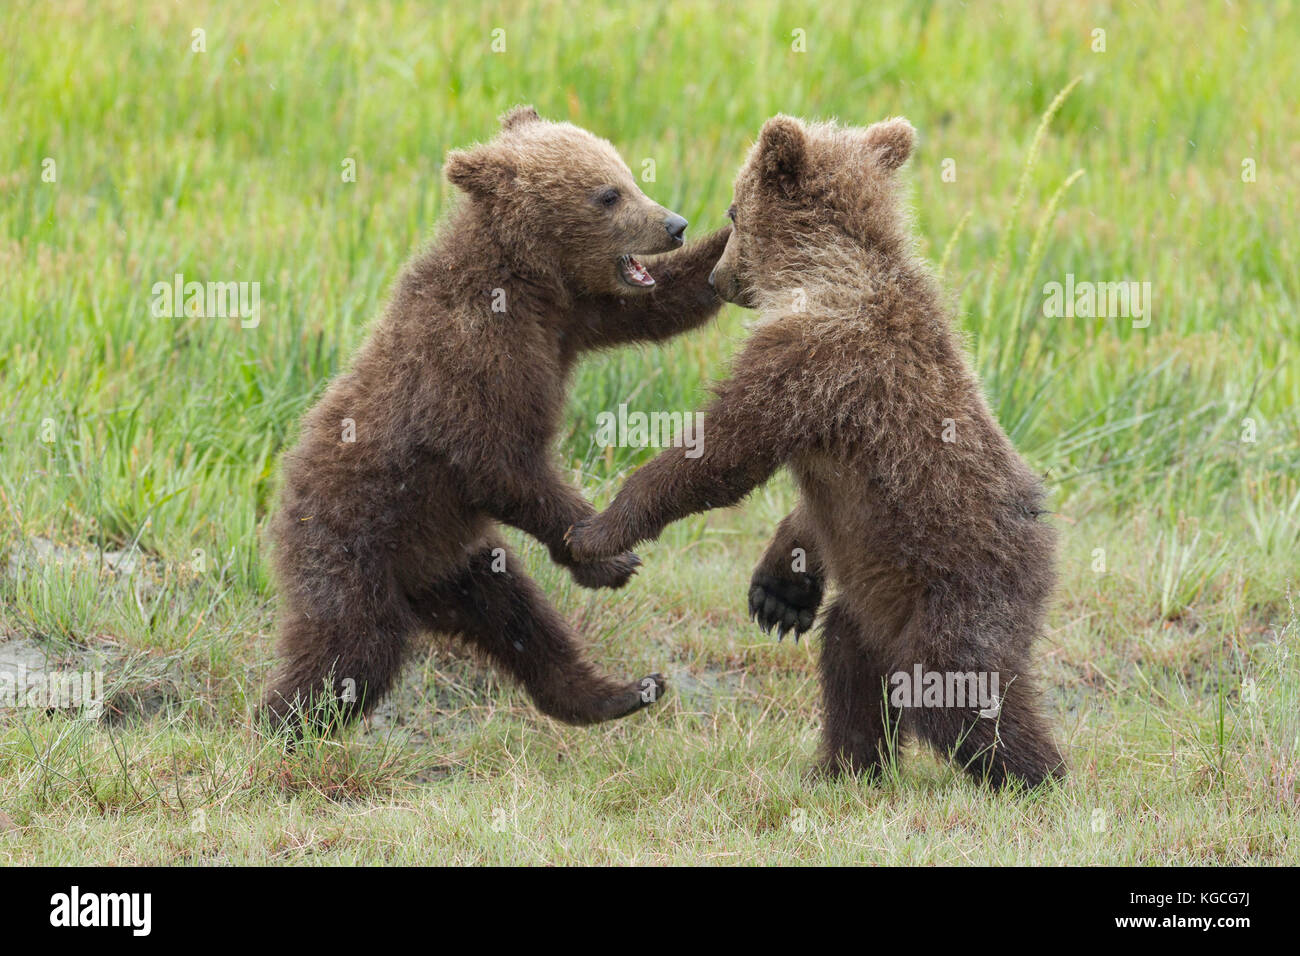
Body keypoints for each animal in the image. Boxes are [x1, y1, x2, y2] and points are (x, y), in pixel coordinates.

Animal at [261, 105, 731, 737]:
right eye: (608, 194)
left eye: (629, 175)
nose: (674, 224)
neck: (524, 281)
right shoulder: (470, 362)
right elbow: (502, 465)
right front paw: (606, 554)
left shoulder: (572, 315)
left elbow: (665, 303)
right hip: (353, 546)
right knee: (352, 652)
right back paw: (273, 729)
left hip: (460, 562)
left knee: (520, 619)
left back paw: (620, 692)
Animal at [567, 115, 1066, 789]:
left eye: (733, 207)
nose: (719, 279)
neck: (824, 270)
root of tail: (1046, 555)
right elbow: (807, 513)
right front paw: (779, 592)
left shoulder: (810, 361)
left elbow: (720, 455)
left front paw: (597, 529)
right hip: (877, 596)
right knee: (851, 665)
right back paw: (844, 767)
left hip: (962, 588)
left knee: (953, 688)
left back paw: (1037, 778)